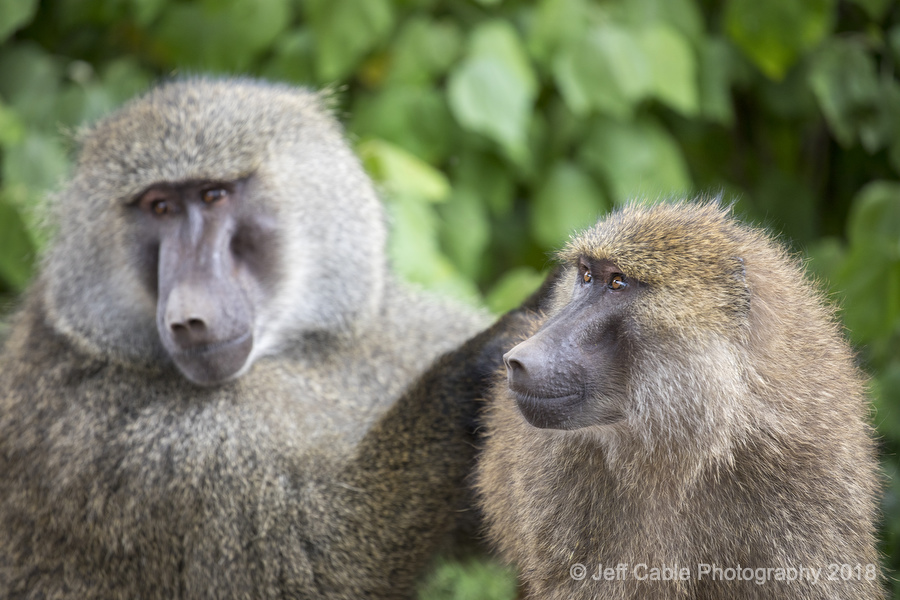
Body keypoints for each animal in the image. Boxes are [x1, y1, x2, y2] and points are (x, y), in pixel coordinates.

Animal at [0, 77, 534, 599]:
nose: (188, 318)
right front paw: (470, 370)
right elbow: (312, 571)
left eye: (214, 195)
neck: (285, 355)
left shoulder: (398, 338)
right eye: (160, 206)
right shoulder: (121, 443)